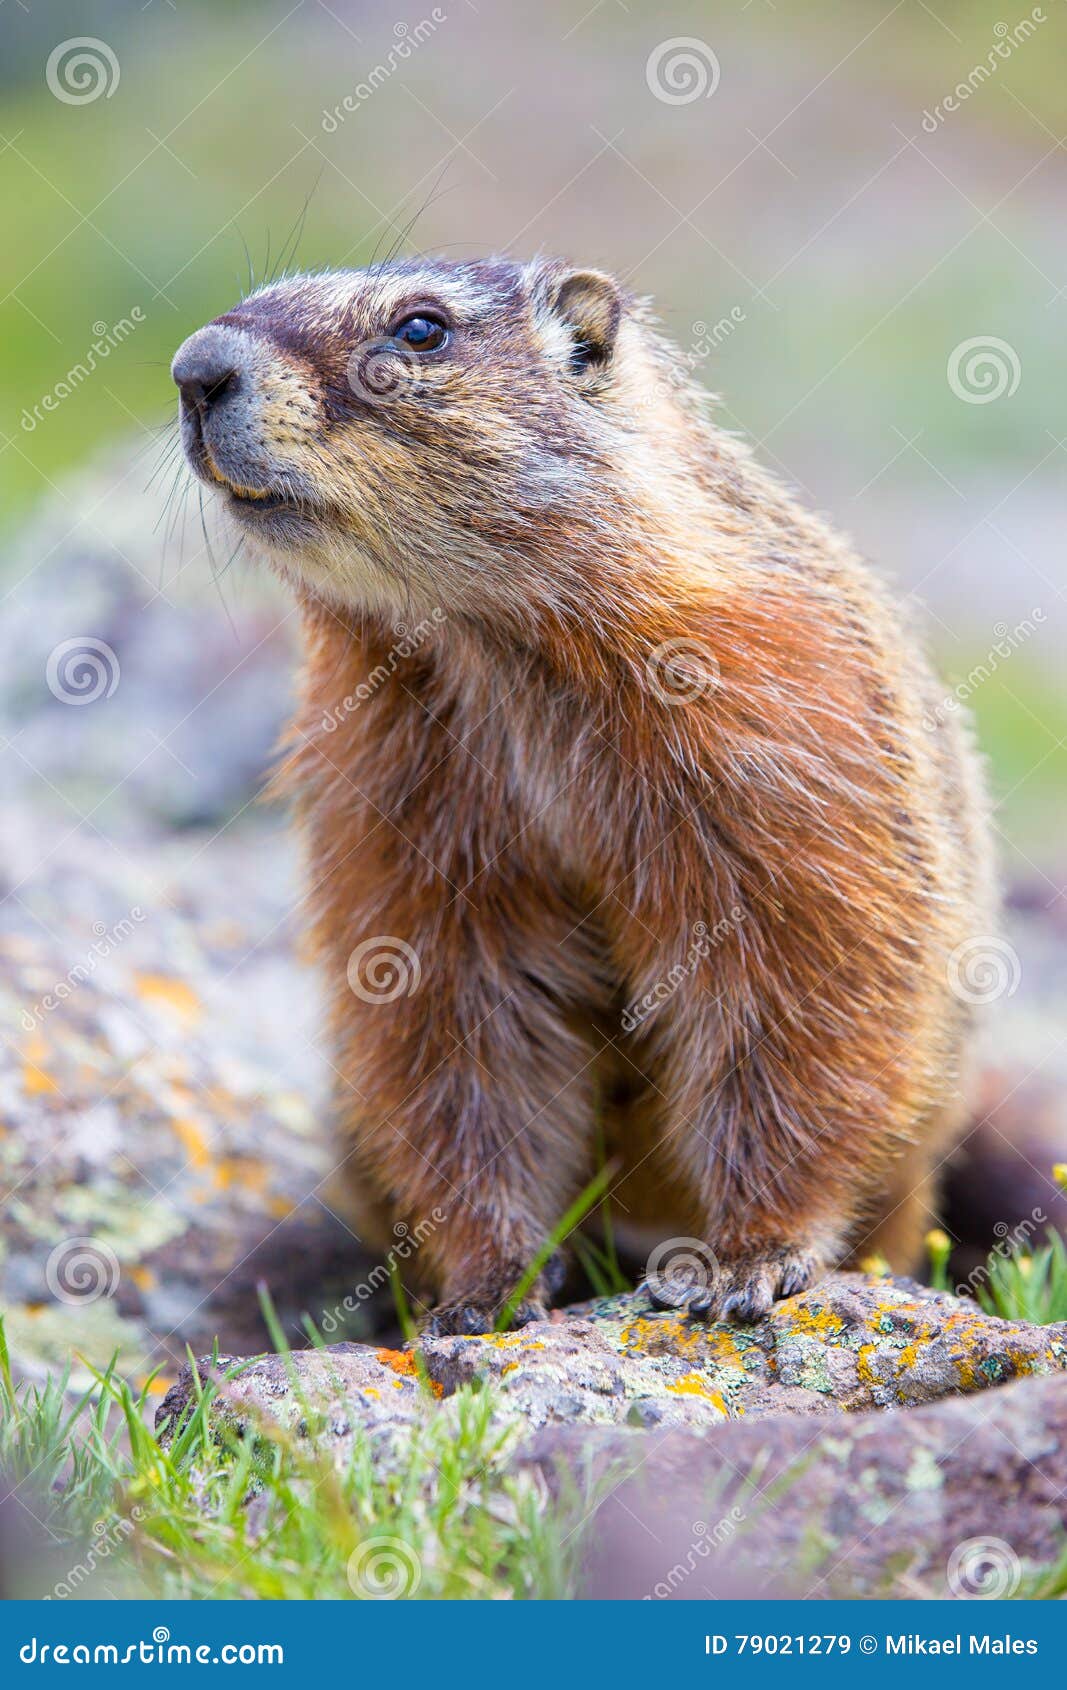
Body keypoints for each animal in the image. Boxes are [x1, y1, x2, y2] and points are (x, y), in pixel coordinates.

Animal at [172, 256, 994, 1333]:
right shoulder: (389, 780)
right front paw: (488, 1284)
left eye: (422, 329)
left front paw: (746, 1258)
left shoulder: (776, 719)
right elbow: (448, 1006)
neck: (481, 647)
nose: (194, 368)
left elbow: (801, 967)